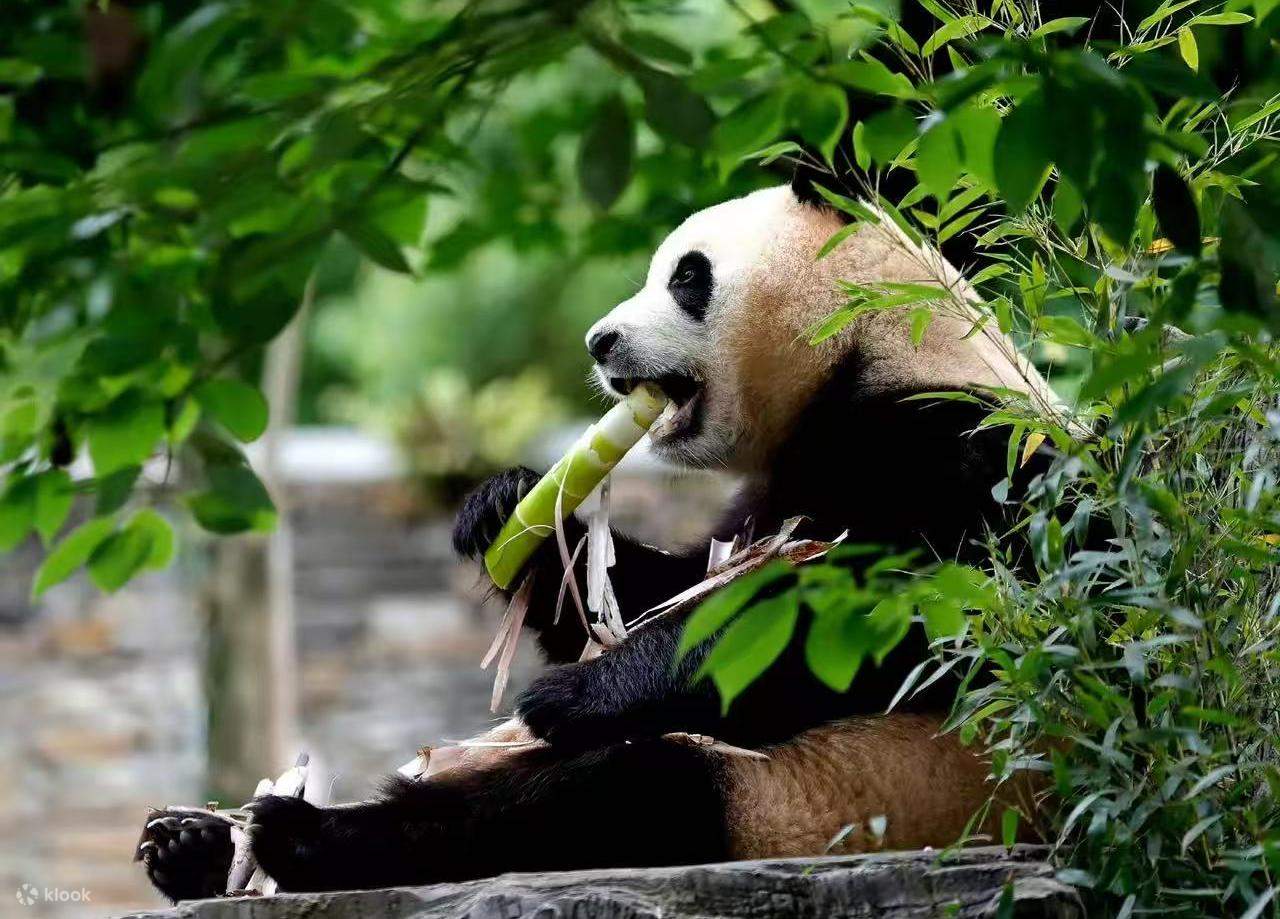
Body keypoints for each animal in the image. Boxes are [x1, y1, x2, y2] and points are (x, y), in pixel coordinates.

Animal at [139, 175, 1061, 900]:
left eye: (689, 276)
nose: (600, 341)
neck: (874, 341)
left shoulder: (959, 445)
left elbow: (886, 620)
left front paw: (574, 695)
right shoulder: (768, 490)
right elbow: (656, 588)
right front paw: (509, 511)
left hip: (839, 798)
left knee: (616, 793)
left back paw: (304, 838)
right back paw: (198, 844)